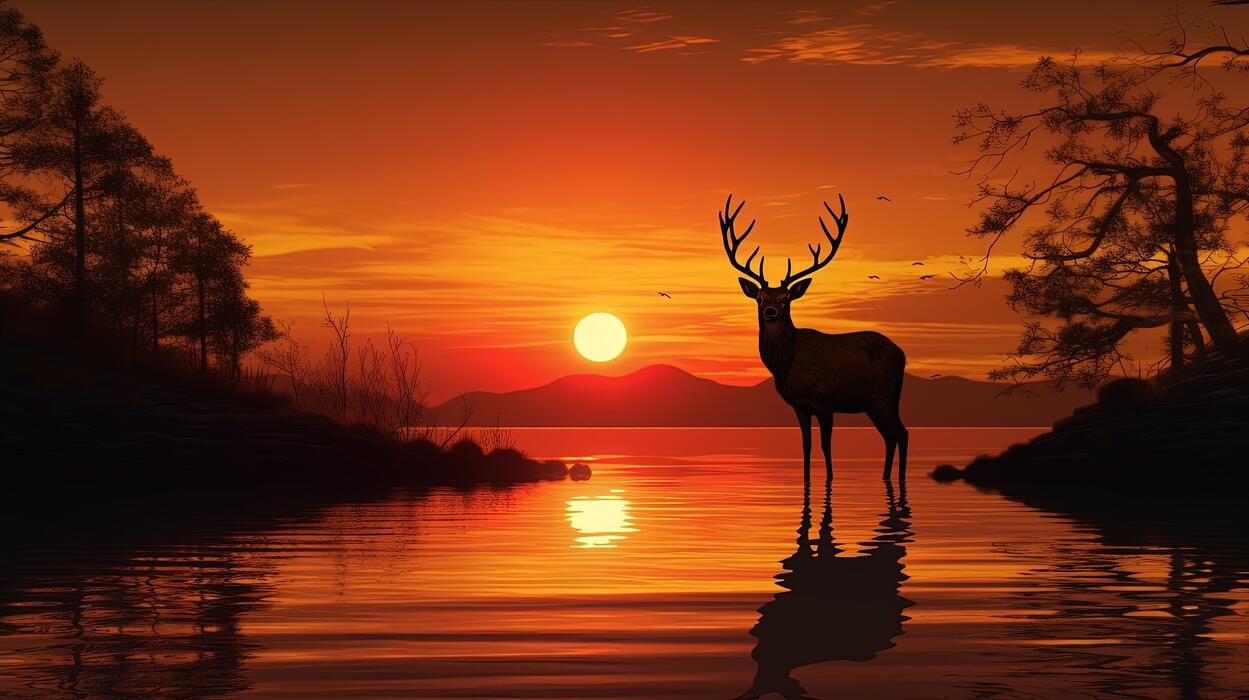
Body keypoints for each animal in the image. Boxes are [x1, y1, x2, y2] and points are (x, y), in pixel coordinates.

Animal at [718, 194, 909, 480]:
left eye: (785, 298)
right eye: (760, 298)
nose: (771, 310)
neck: (788, 366)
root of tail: (902, 353)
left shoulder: (825, 400)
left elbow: (826, 445)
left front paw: (830, 479)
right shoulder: (799, 405)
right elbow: (806, 445)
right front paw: (806, 480)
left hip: (884, 394)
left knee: (901, 433)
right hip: (873, 402)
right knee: (891, 435)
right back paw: (886, 477)